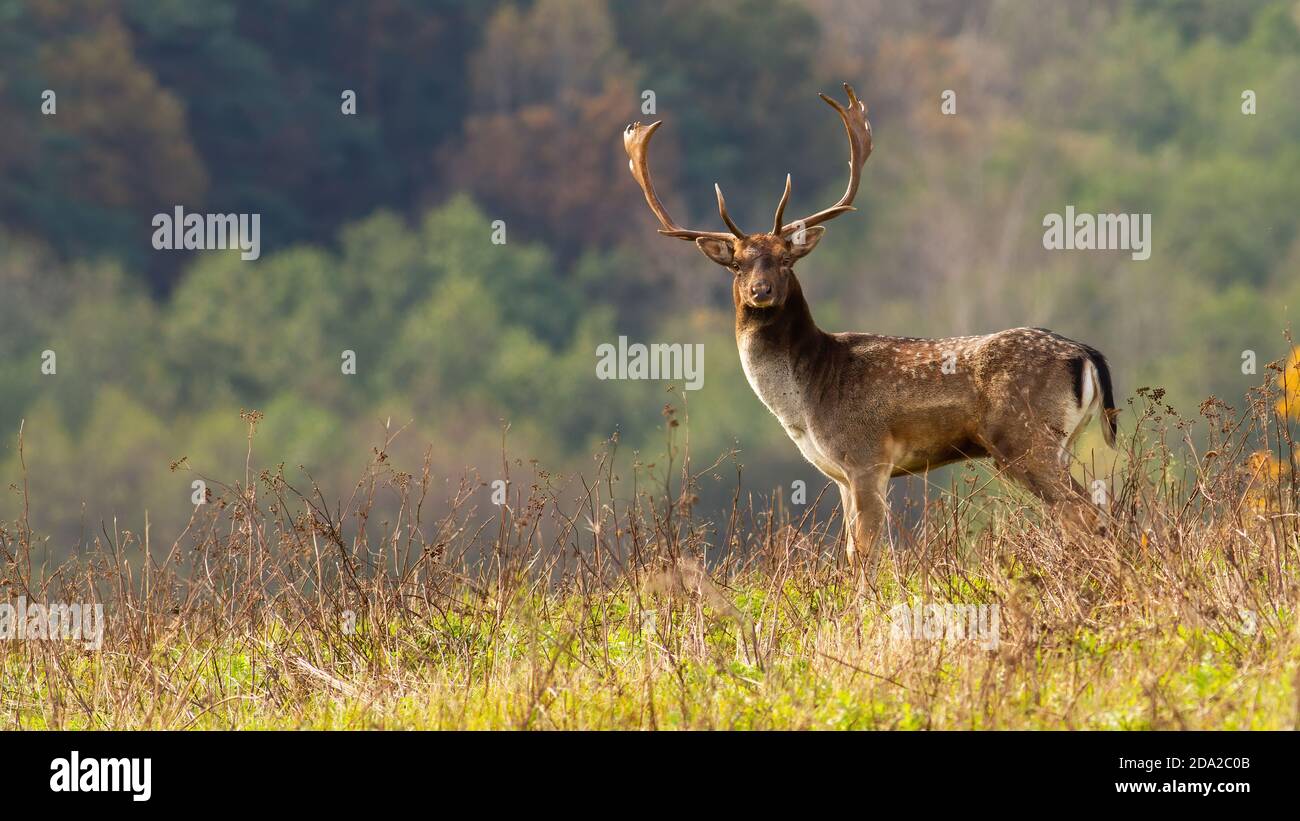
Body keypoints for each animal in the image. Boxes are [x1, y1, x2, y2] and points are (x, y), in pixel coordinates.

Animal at [623, 83, 1119, 567]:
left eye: (784, 259)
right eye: (738, 264)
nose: (760, 291)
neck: (804, 402)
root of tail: (1085, 354)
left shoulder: (865, 456)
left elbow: (864, 554)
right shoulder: (840, 475)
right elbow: (850, 550)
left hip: (1025, 438)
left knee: (1085, 512)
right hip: (1057, 443)